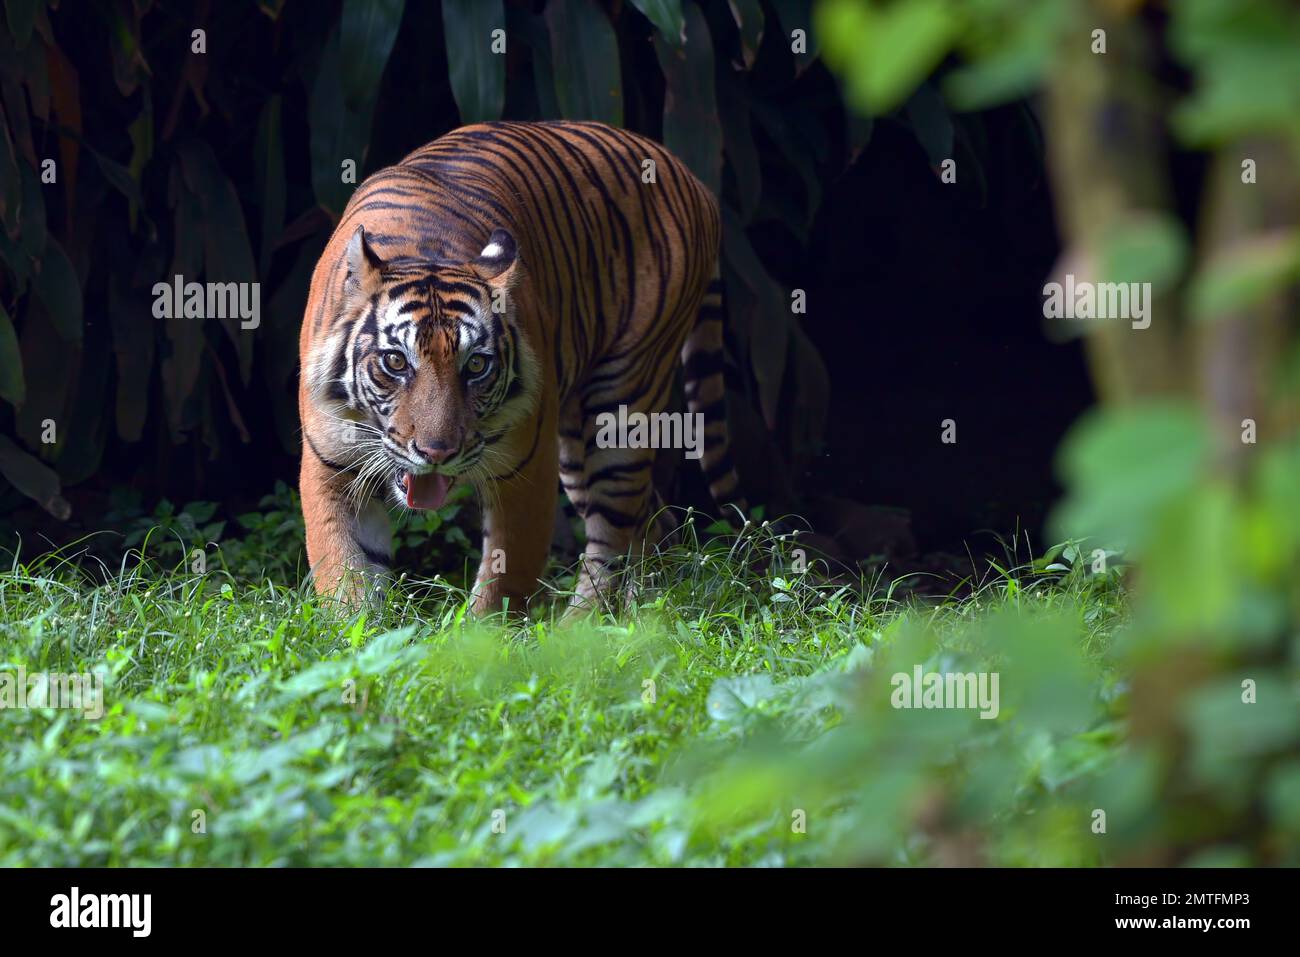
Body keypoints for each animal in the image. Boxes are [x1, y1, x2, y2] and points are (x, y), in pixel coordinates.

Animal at [298, 120, 746, 614]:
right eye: (395, 361)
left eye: (476, 365)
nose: (437, 454)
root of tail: (692, 178)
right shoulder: (330, 466)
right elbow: (346, 574)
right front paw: (358, 629)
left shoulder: (525, 469)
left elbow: (504, 583)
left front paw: (480, 633)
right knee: (652, 525)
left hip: (621, 405)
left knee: (613, 535)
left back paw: (583, 625)